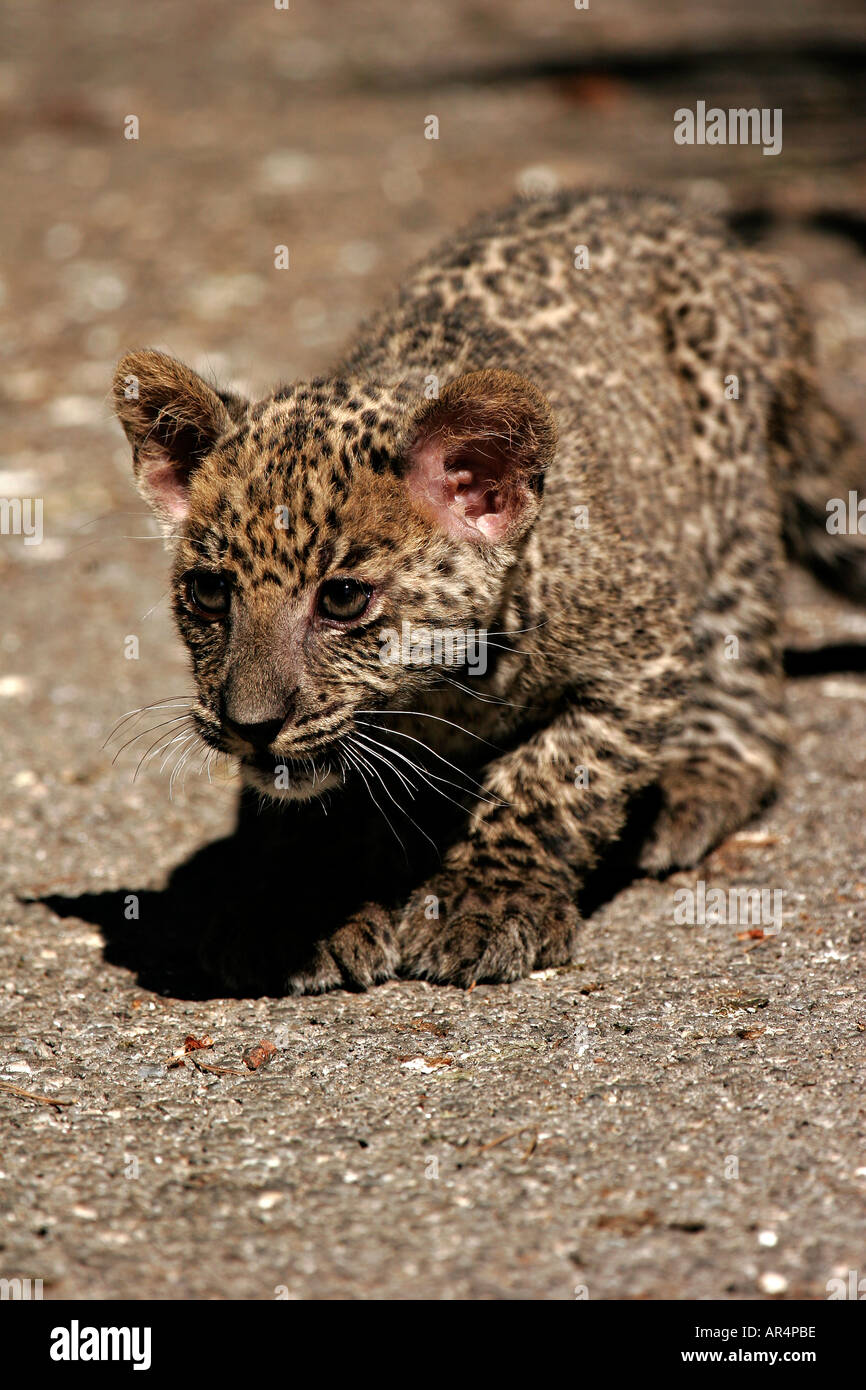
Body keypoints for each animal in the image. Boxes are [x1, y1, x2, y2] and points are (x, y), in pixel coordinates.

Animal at [112, 188, 866, 995]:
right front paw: (296, 915)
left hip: (734, 499)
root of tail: (708, 232)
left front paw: (487, 902)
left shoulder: (641, 660)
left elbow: (551, 780)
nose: (249, 724)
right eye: (209, 592)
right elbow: (310, 801)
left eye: (343, 599)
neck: (441, 695)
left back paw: (694, 785)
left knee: (745, 668)